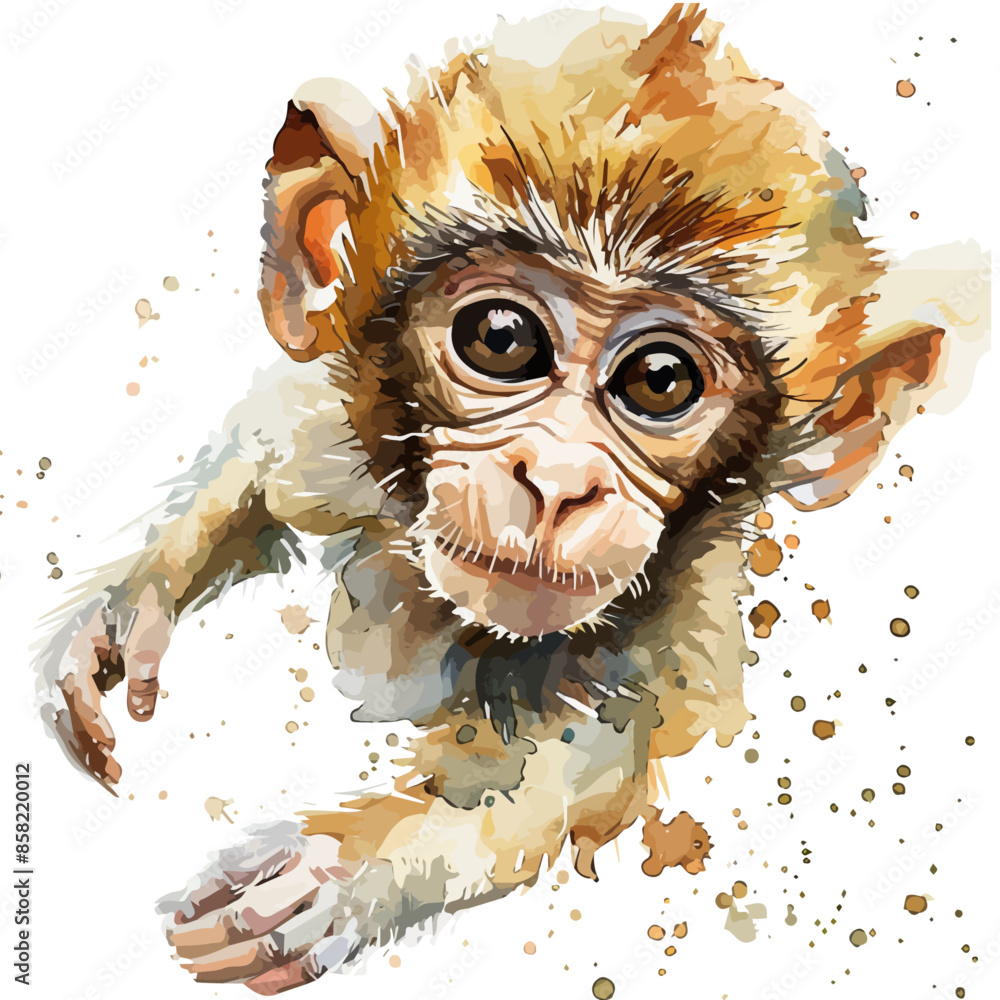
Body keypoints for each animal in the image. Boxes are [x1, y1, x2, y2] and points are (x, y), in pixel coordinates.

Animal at [34, 6, 948, 994]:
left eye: (660, 381)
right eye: (501, 338)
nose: (557, 481)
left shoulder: (680, 634)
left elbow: (578, 783)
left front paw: (353, 865)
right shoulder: (332, 450)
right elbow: (268, 444)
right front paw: (129, 609)